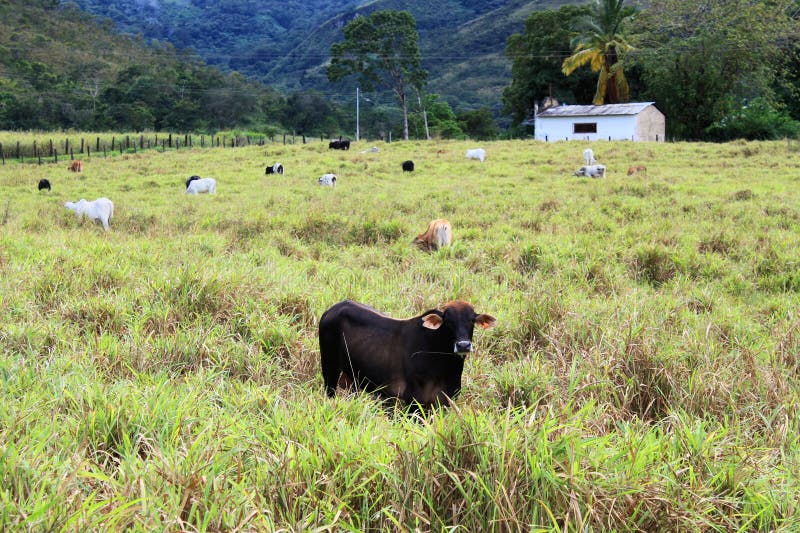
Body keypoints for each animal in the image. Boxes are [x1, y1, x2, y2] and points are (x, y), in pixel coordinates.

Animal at [318, 299, 496, 410]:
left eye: (472, 320)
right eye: (448, 322)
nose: (463, 345)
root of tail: (331, 310)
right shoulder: (413, 400)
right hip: (329, 370)